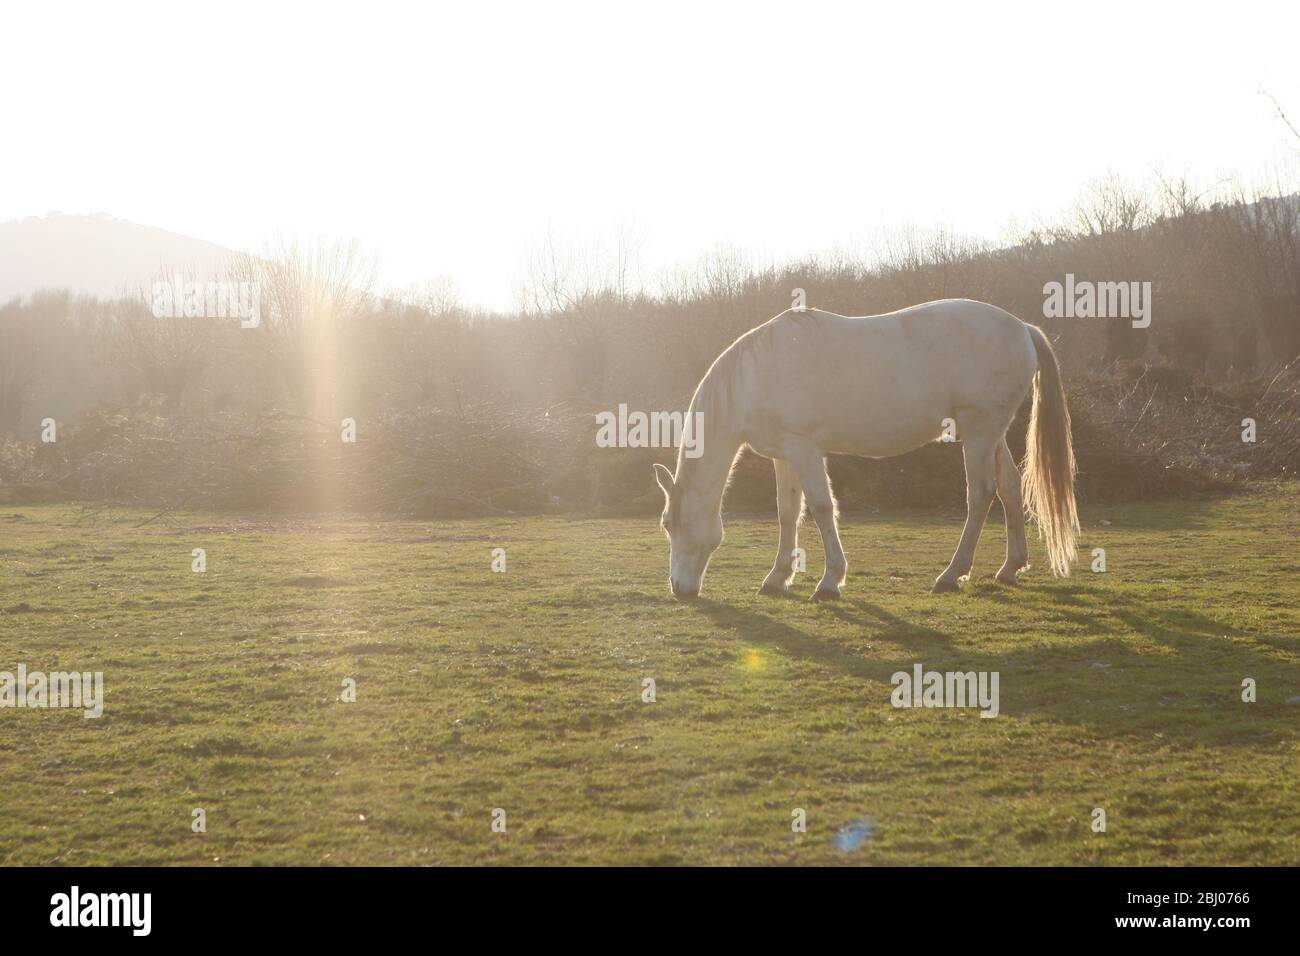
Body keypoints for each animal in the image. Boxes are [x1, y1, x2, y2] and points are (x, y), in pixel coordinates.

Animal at [653, 299, 1078, 600]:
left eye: (668, 523)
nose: (679, 589)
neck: (754, 377)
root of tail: (1022, 329)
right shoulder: (784, 455)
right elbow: (788, 512)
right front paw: (776, 578)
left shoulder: (805, 450)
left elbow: (821, 507)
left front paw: (829, 582)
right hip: (989, 434)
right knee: (1009, 487)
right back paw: (1010, 568)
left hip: (979, 433)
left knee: (982, 495)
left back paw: (951, 575)